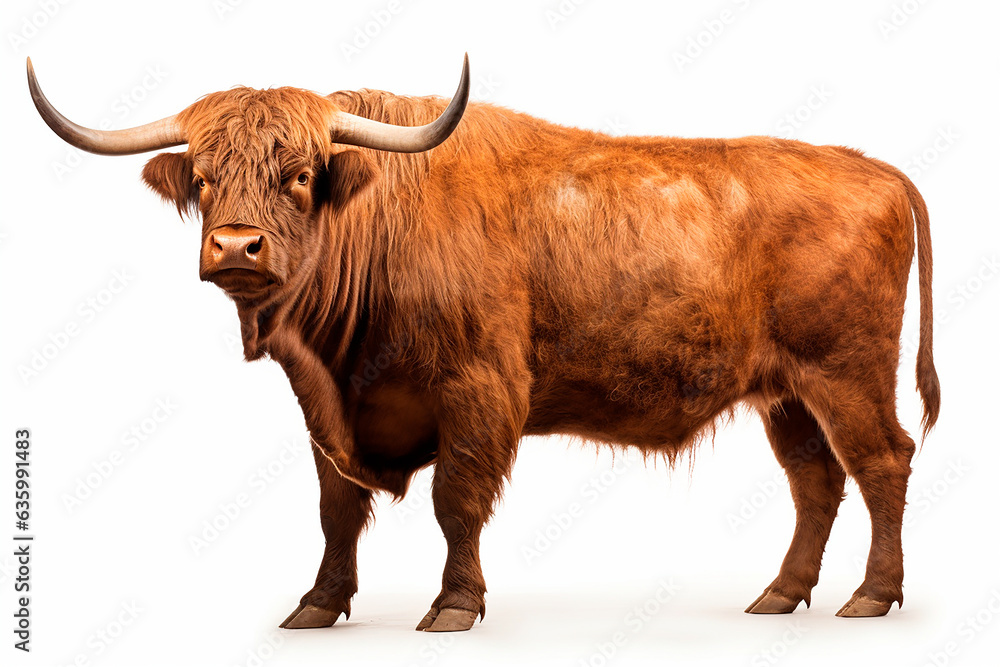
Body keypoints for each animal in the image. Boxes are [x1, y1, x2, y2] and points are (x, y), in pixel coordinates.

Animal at [27, 54, 939, 632]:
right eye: (204, 177)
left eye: (301, 175)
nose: (236, 247)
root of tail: (872, 168)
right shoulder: (325, 412)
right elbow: (335, 507)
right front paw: (317, 604)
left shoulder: (479, 393)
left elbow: (454, 502)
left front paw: (453, 606)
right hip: (787, 393)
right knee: (817, 481)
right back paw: (781, 595)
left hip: (847, 375)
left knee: (881, 463)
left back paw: (871, 595)